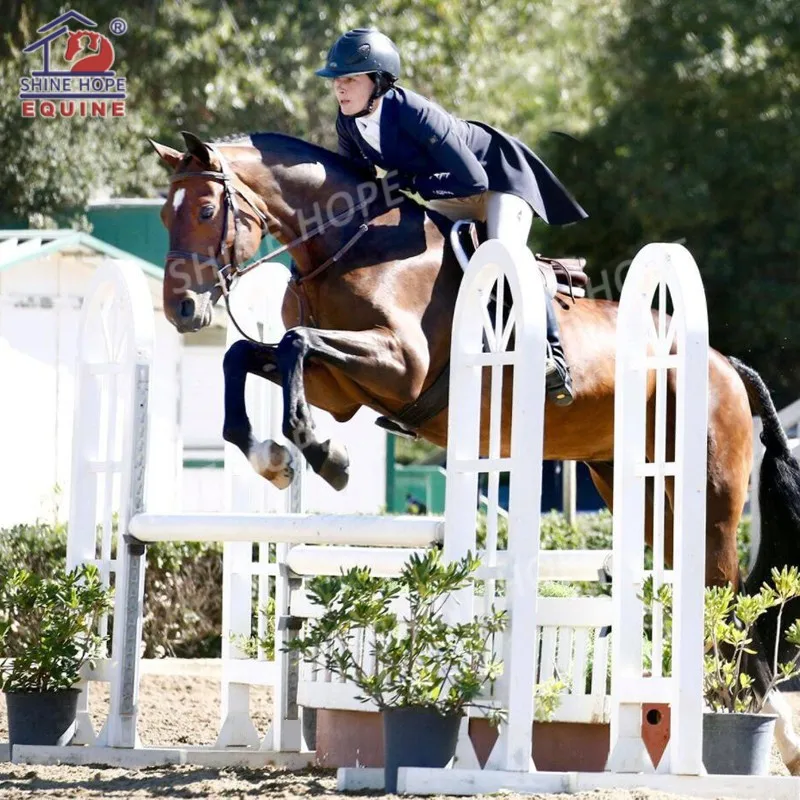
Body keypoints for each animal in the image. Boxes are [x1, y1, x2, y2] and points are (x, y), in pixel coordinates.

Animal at [149, 129, 800, 772]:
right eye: (162, 215)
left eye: (205, 211)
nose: (182, 311)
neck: (348, 249)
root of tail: (726, 363)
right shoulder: (341, 389)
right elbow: (251, 355)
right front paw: (277, 458)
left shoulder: (398, 365)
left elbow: (294, 342)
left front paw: (323, 456)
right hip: (632, 488)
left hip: (710, 499)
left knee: (727, 598)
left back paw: (729, 727)